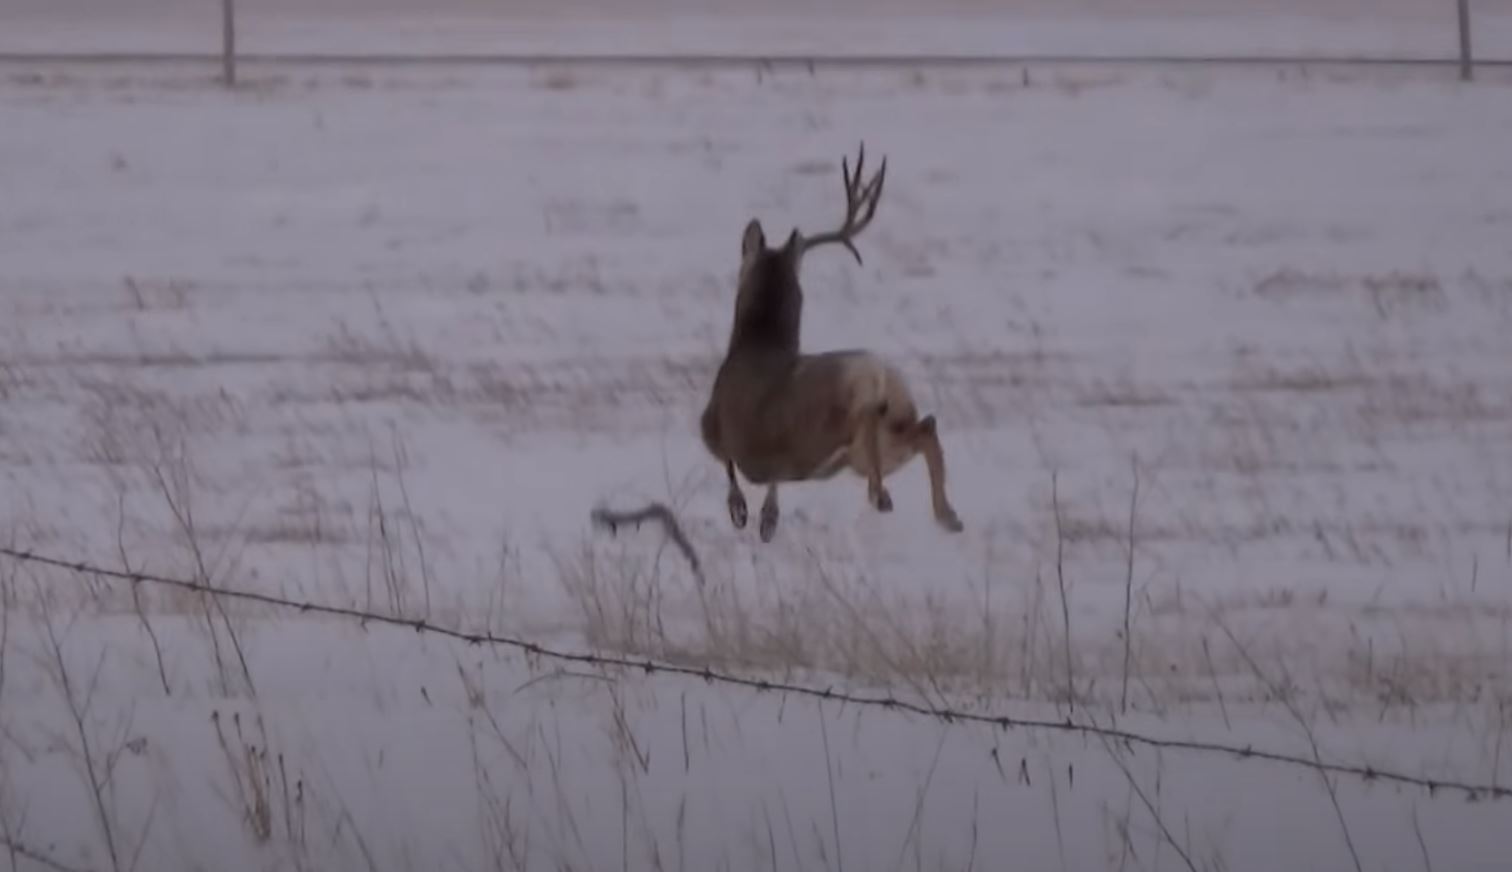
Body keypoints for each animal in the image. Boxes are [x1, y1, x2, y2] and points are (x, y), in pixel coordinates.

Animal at [698, 144, 964, 543]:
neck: (758, 342)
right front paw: (766, 518)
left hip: (837, 417)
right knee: (925, 428)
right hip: (880, 443)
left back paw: (883, 494)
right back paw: (946, 514)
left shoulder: (714, 429)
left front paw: (747, 514)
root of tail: (880, 372)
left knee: (872, 419)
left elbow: (733, 469)